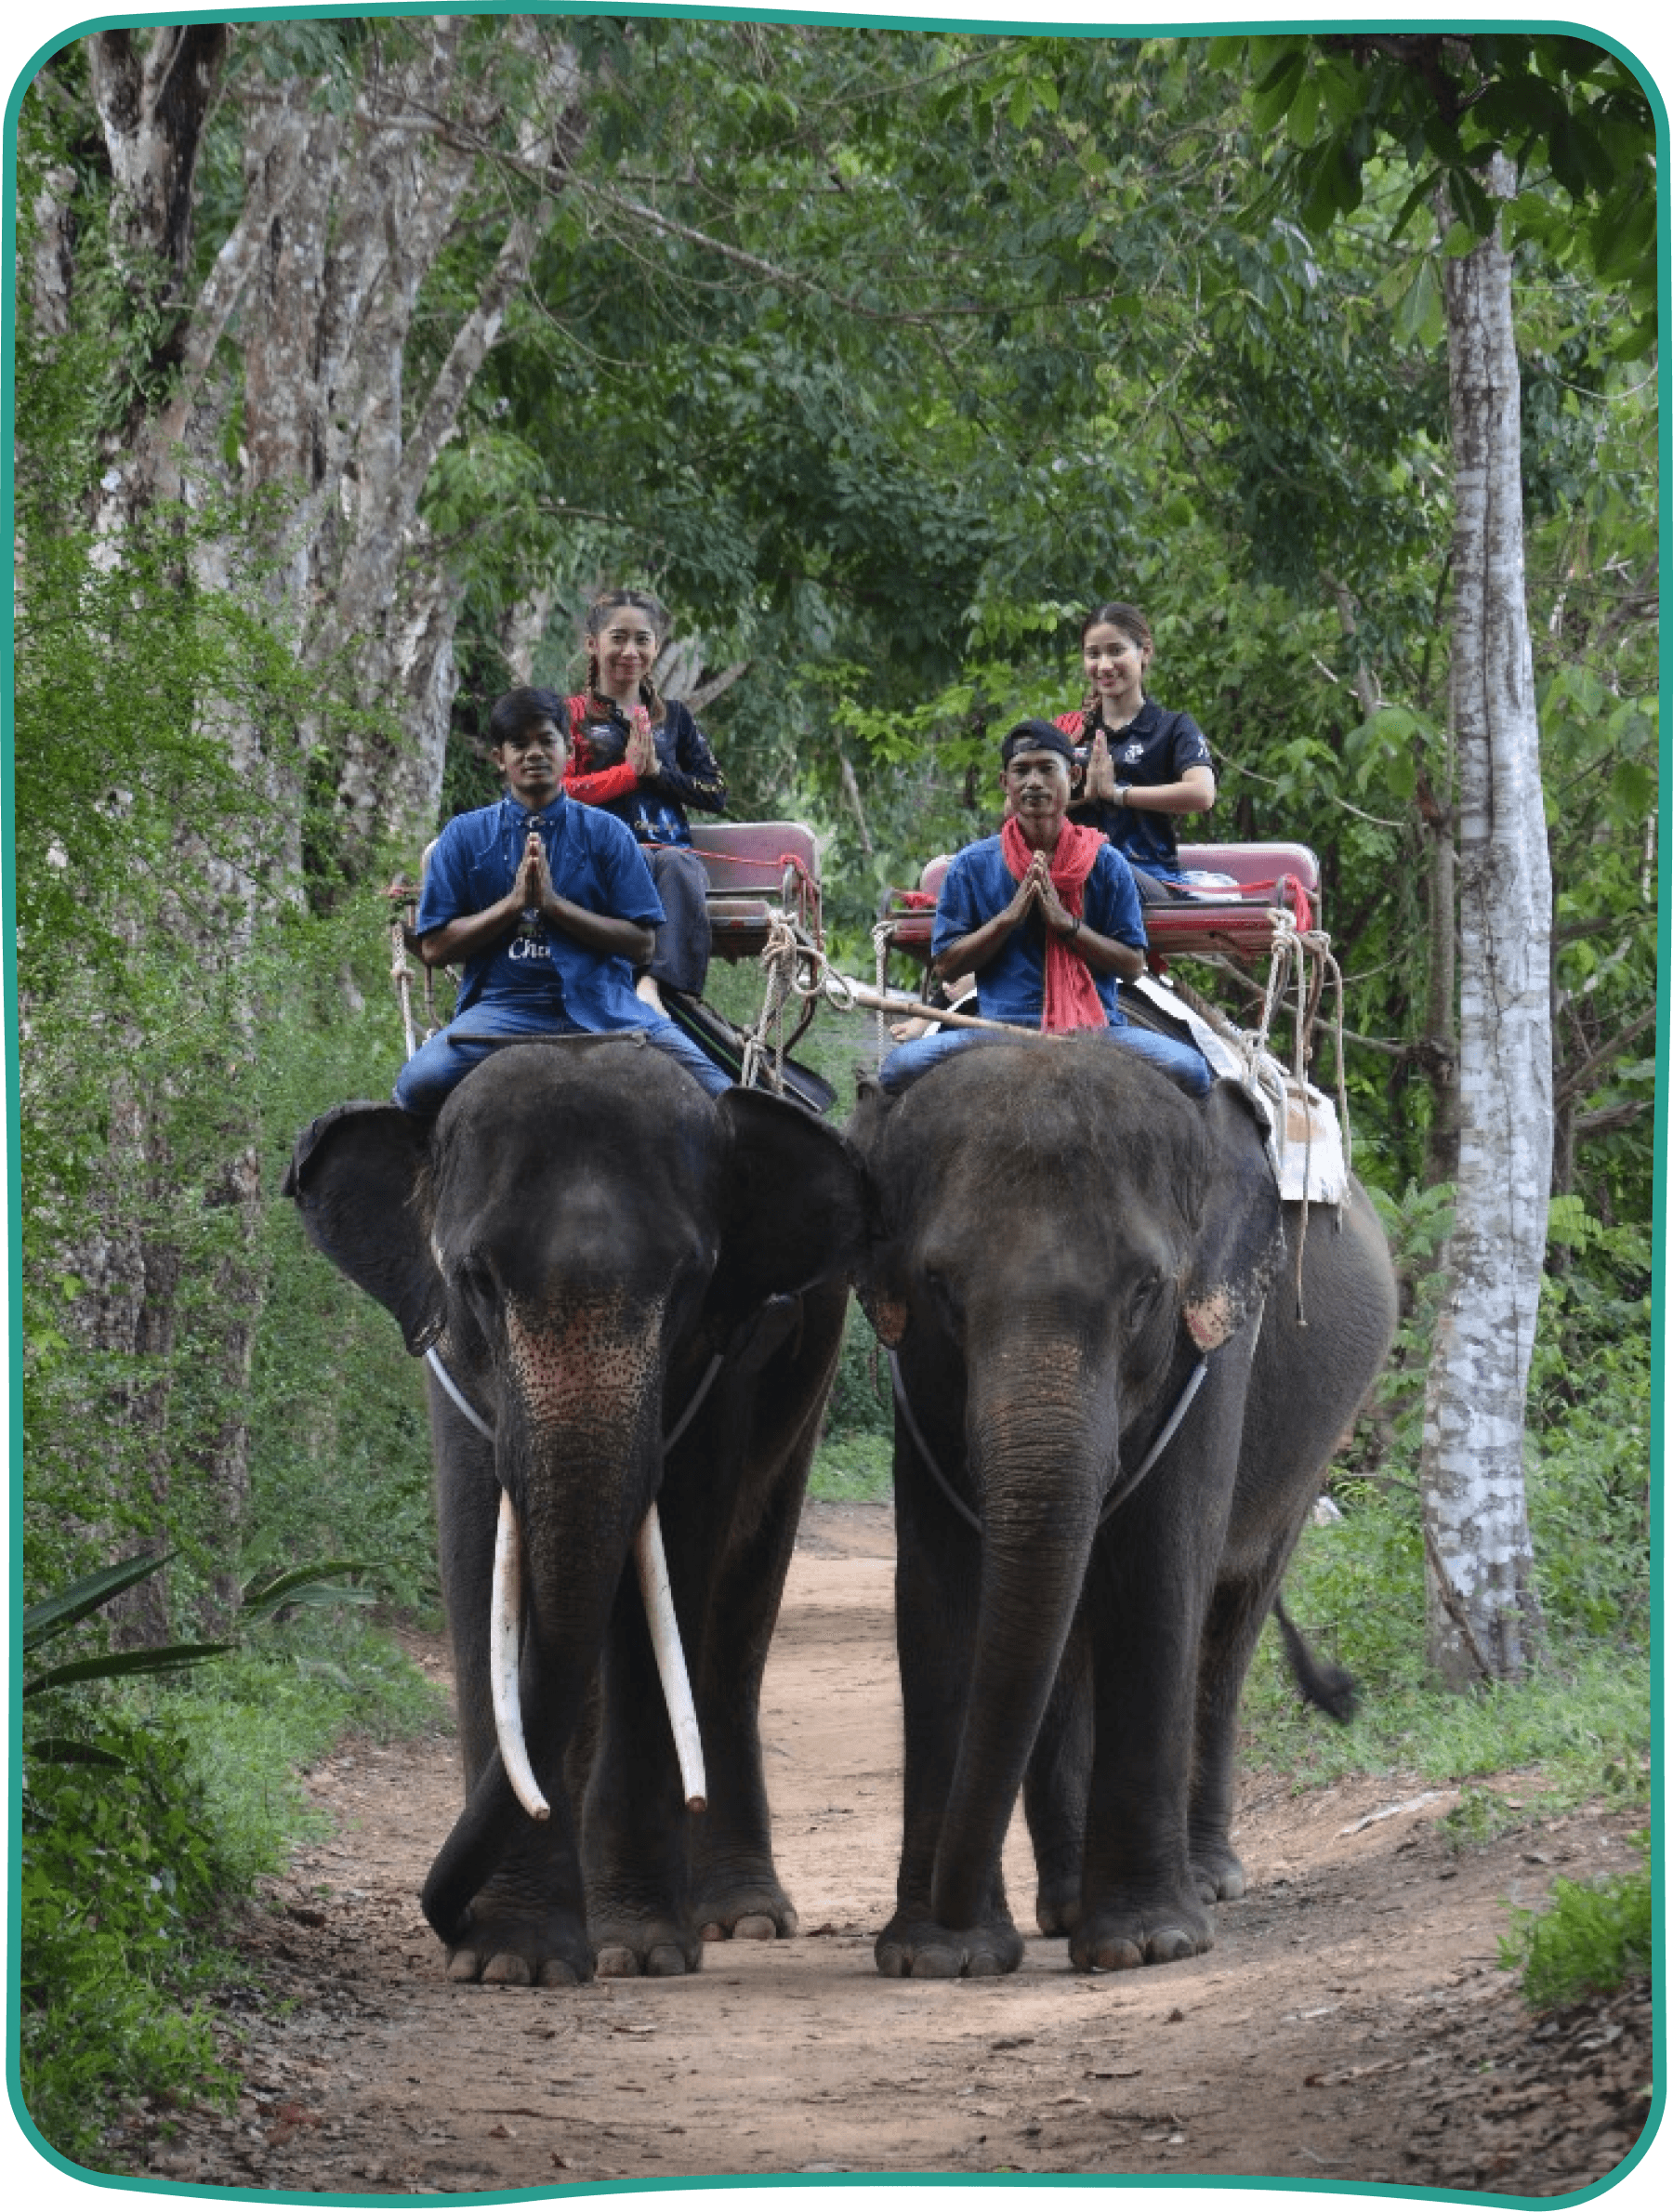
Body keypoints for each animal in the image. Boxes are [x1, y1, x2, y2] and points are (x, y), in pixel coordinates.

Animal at [283, 1035, 864, 1986]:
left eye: (691, 1277)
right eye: (476, 1277)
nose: (444, 1915)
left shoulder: (726, 1358)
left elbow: (671, 1564)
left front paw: (635, 1950)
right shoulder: (449, 1355)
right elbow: (482, 1558)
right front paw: (509, 1963)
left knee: (732, 1617)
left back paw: (736, 1919)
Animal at [848, 1032, 1398, 1978]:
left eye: (1145, 1290)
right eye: (940, 1286)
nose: (954, 1902)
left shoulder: (1218, 1331)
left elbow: (1159, 1564)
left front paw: (1148, 1945)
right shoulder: (913, 1368)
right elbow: (939, 1582)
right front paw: (940, 1958)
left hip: (1314, 1447)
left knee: (1229, 1622)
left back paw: (1207, 1882)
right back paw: (1067, 1906)